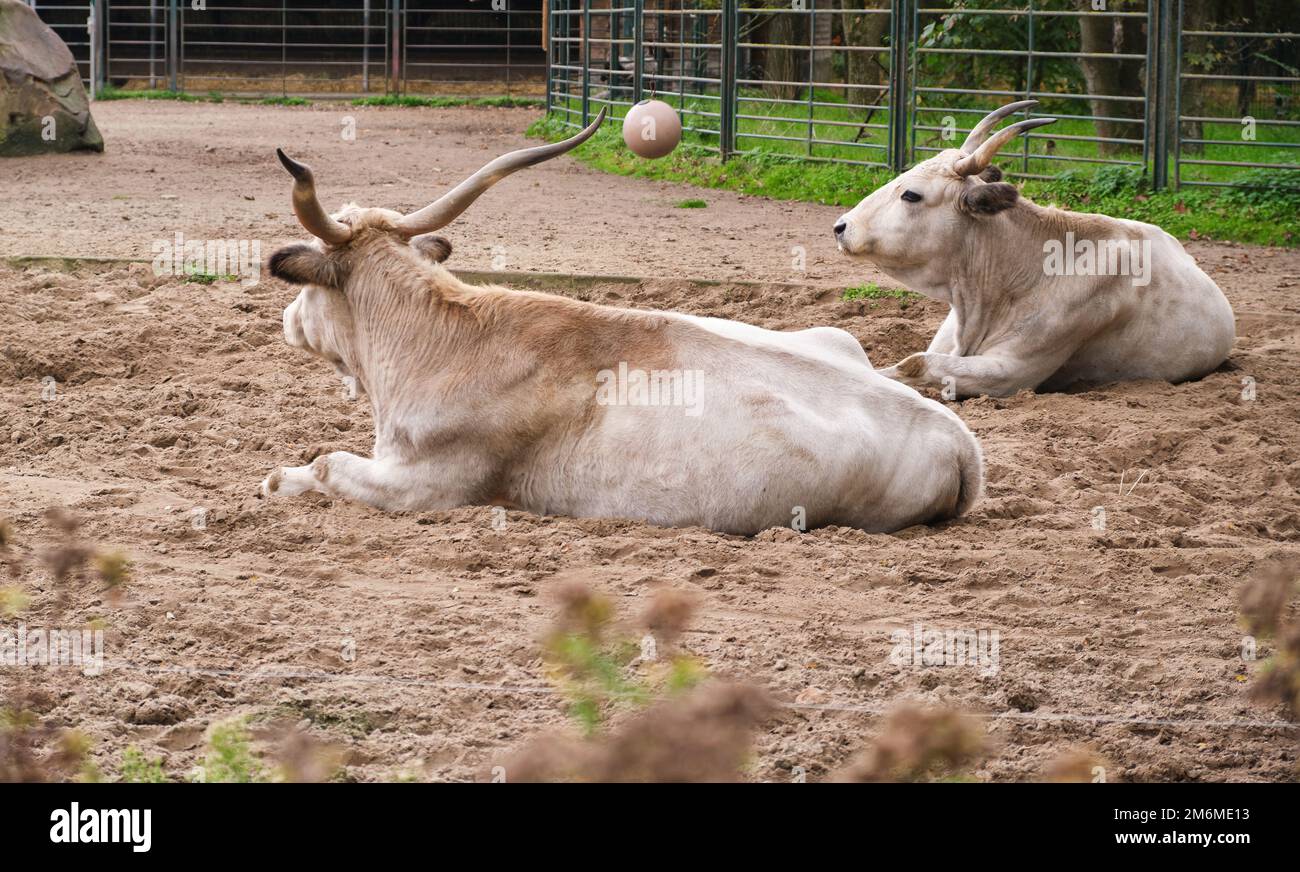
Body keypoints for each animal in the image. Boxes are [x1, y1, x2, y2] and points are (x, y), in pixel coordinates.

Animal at [260, 108, 984, 535]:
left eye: (309, 285)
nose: (289, 321)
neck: (448, 341)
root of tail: (956, 439)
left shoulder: (427, 484)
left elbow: (322, 466)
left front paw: (279, 479)